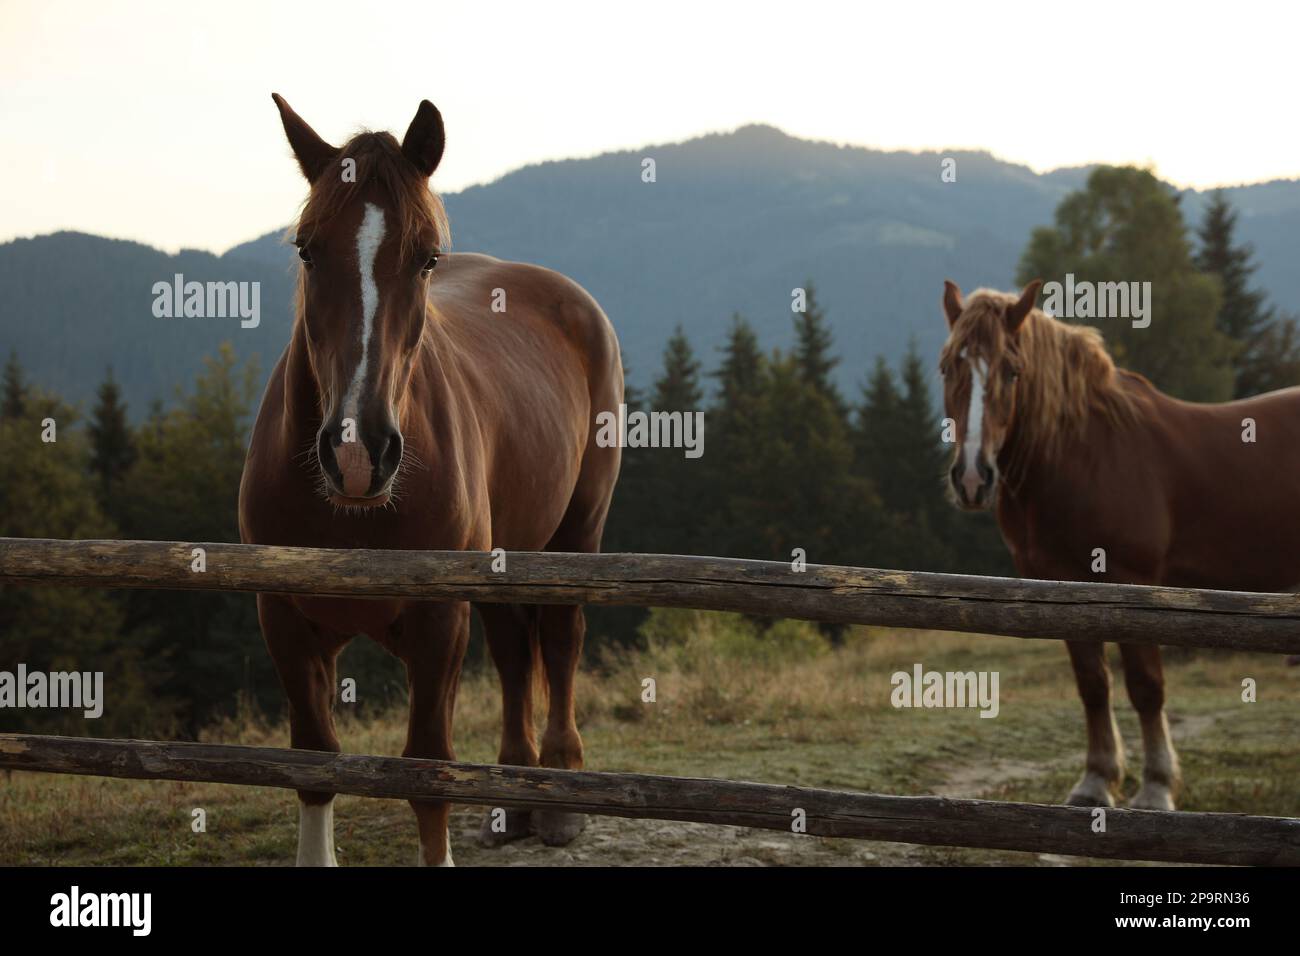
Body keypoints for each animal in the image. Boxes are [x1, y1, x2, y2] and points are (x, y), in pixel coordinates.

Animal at [238, 94, 623, 866]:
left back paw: (559, 797)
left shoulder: (438, 621)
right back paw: (512, 798)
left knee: (560, 639)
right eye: (305, 247)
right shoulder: (283, 619)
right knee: (513, 652)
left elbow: (427, 768)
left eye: (426, 259)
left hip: (577, 531)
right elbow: (315, 762)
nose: (359, 452)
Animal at [938, 279, 1300, 810]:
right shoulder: (1059, 586)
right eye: (948, 366)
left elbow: (1146, 687)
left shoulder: (1136, 583)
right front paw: (1096, 781)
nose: (971, 478)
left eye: (1012, 370)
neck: (1085, 455)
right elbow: (1092, 685)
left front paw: (1155, 787)